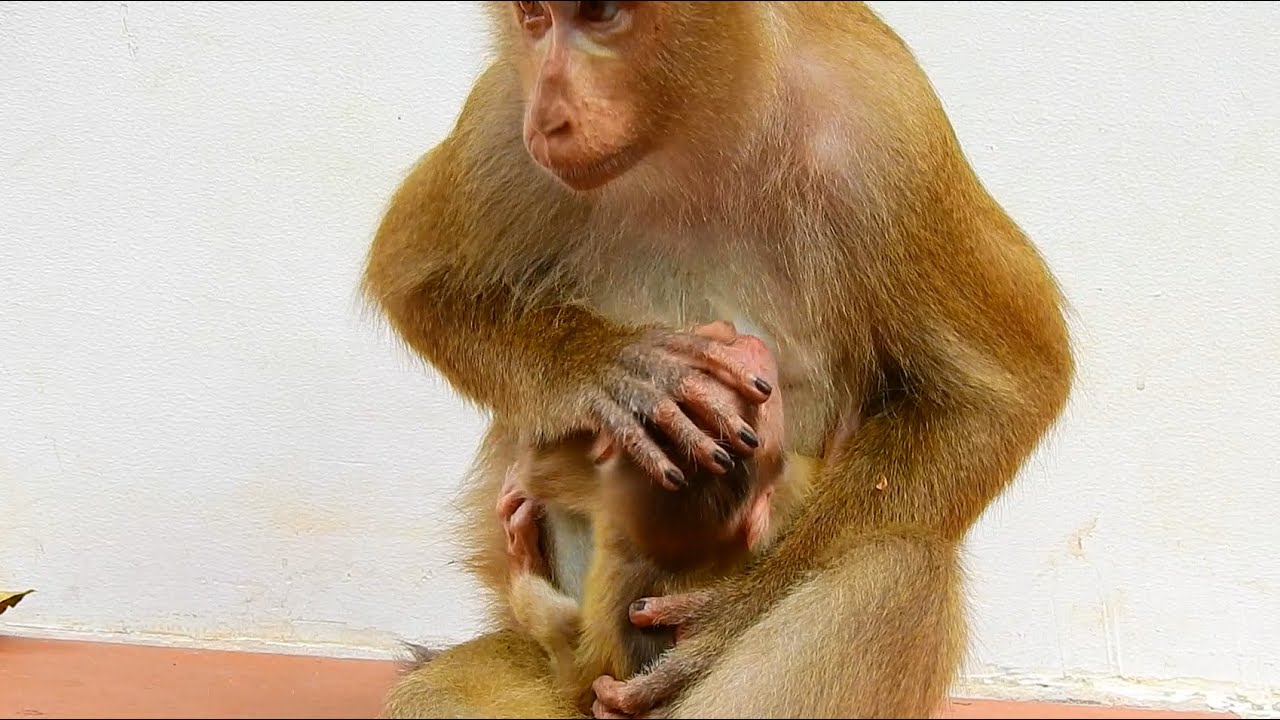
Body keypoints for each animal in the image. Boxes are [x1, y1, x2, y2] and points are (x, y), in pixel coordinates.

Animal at [363, 2, 1075, 718]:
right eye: (534, 16)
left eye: (601, 13)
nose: (550, 118)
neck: (693, 129)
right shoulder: (504, 117)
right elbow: (416, 282)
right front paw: (610, 370)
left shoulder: (888, 131)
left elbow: (1005, 392)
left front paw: (731, 615)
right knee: (439, 693)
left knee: (901, 575)